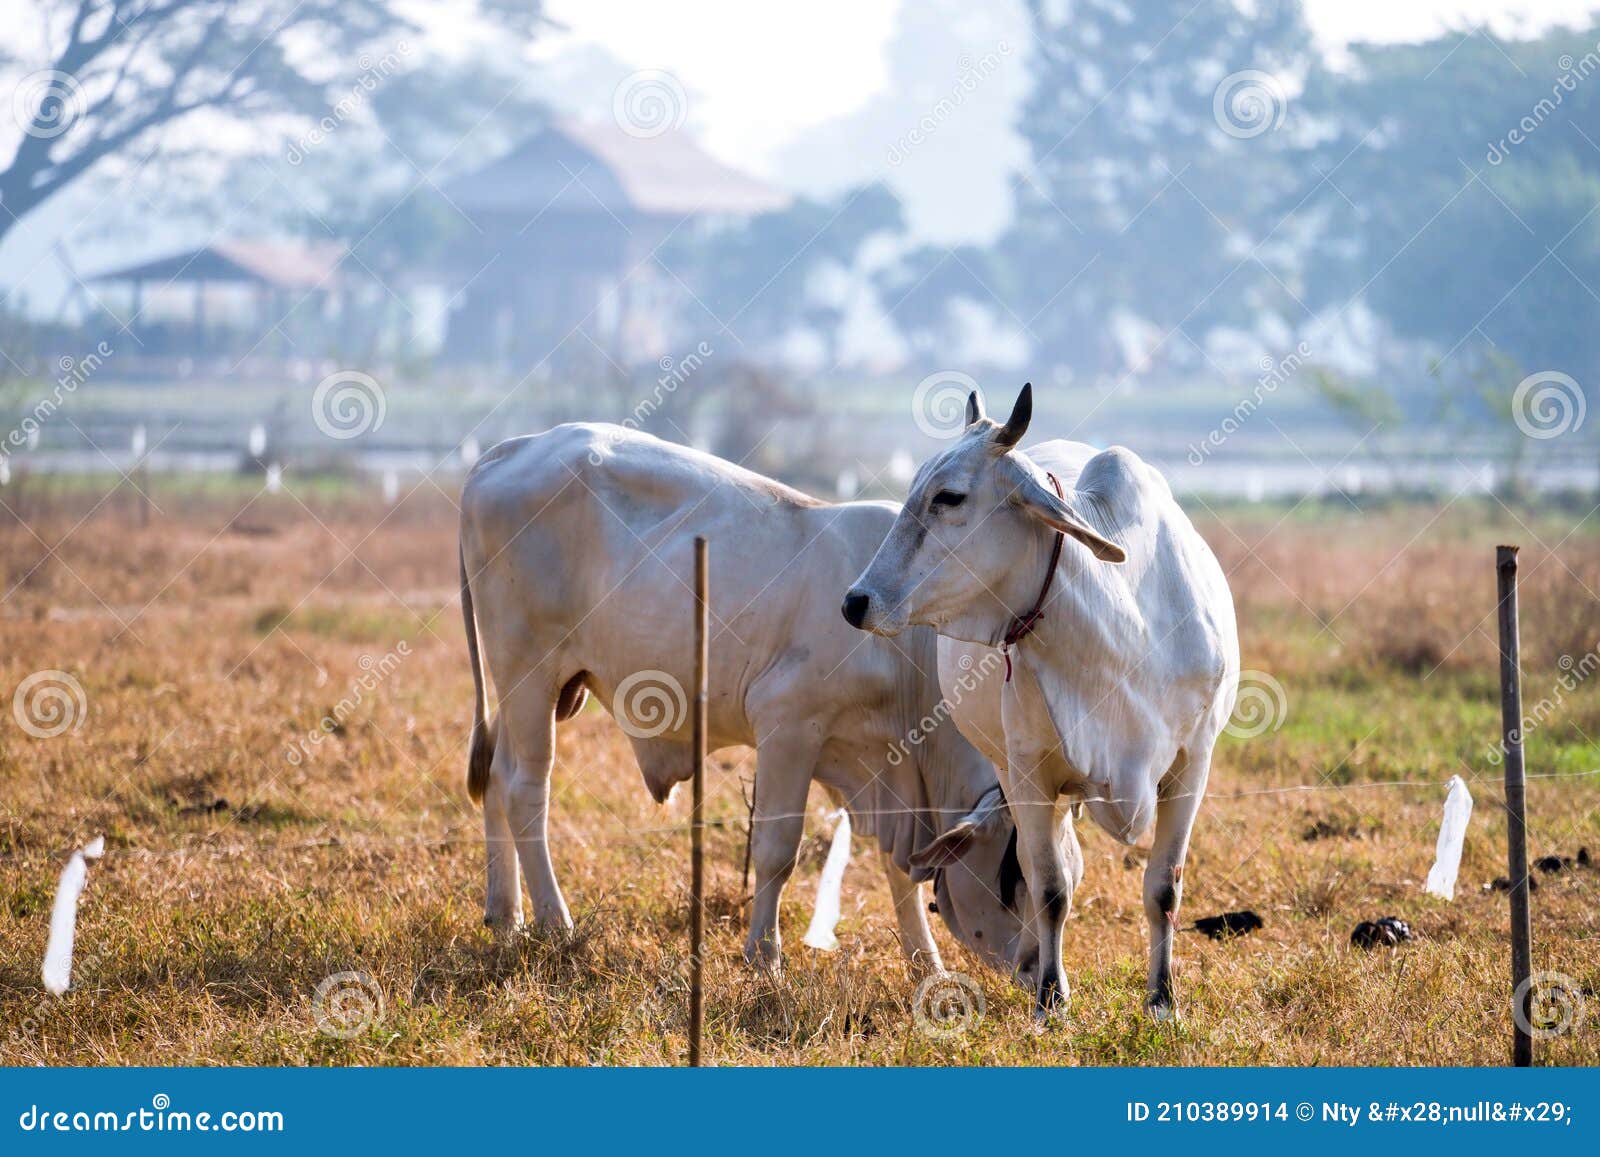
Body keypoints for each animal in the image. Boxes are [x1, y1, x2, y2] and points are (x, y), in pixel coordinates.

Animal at [457, 422, 1029, 977]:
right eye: (1012, 877)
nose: (1040, 976)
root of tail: (514, 447)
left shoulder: (886, 769)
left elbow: (899, 871)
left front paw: (926, 964)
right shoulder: (788, 727)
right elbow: (778, 852)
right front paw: (765, 957)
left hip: (533, 690)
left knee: (497, 777)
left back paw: (505, 915)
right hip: (528, 674)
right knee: (524, 789)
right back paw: (555, 922)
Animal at [842, 384, 1239, 1019]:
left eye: (950, 496)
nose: (856, 602)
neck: (1119, 631)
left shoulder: (1192, 763)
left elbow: (1163, 887)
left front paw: (1162, 998)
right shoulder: (1029, 769)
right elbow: (1049, 888)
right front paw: (1052, 999)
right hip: (1013, 771)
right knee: (1039, 866)